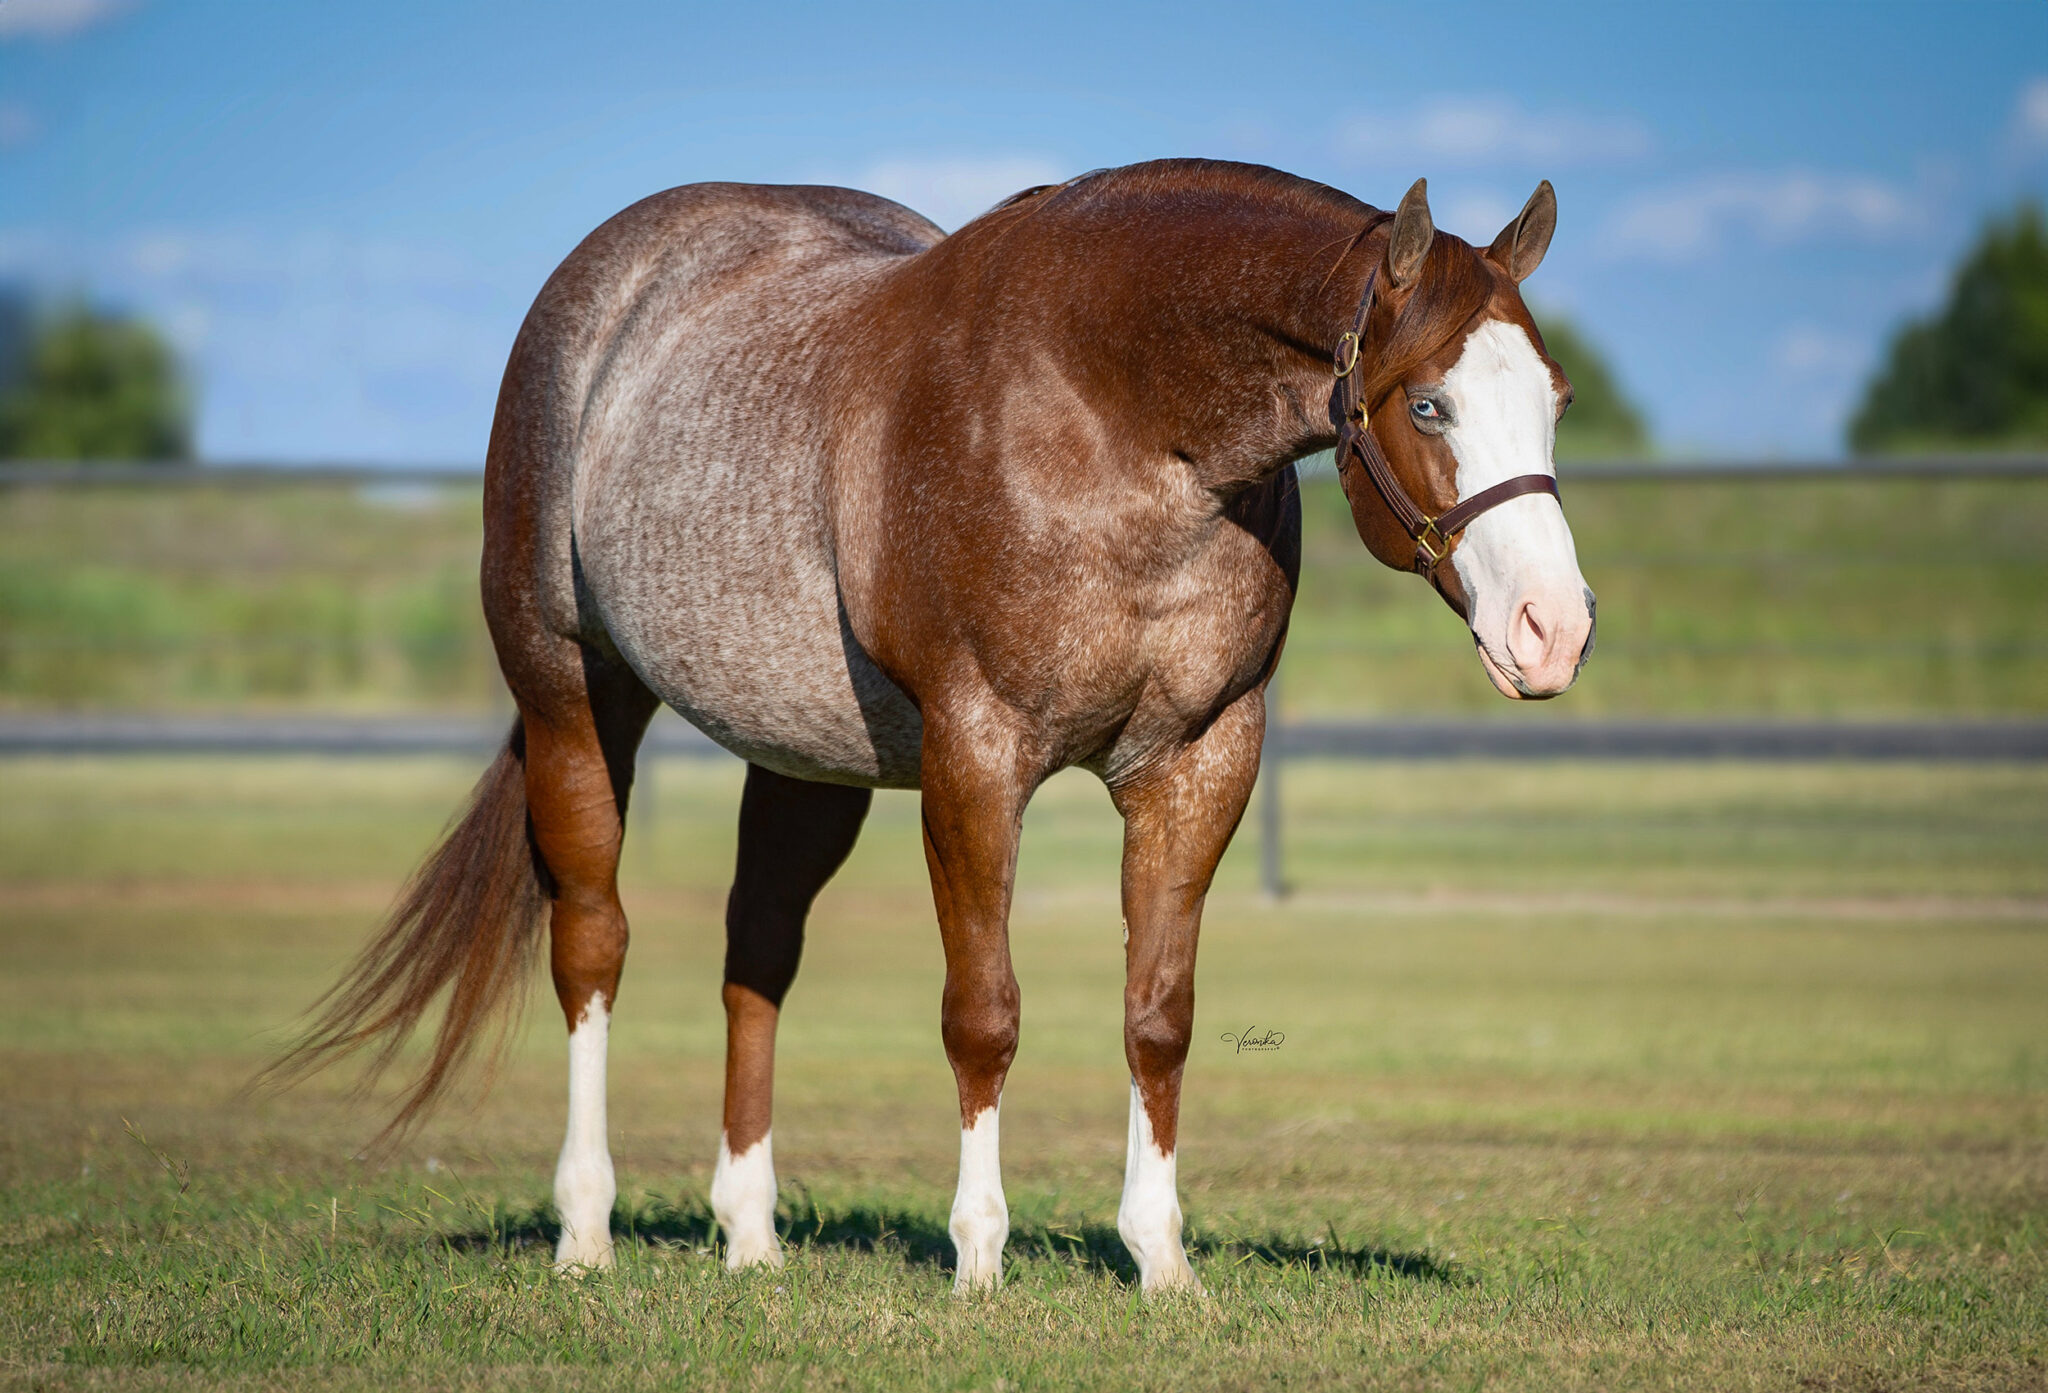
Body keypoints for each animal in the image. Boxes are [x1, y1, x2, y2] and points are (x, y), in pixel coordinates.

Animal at [273, 159, 1595, 1295]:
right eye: (1427, 401)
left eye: (1556, 400)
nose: (1553, 630)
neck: (1109, 412)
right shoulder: (977, 755)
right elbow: (983, 1013)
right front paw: (977, 1256)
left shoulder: (1202, 758)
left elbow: (1158, 1014)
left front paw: (1161, 1259)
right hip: (573, 696)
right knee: (592, 943)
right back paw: (585, 1230)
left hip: (805, 760)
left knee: (757, 950)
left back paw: (749, 1237)